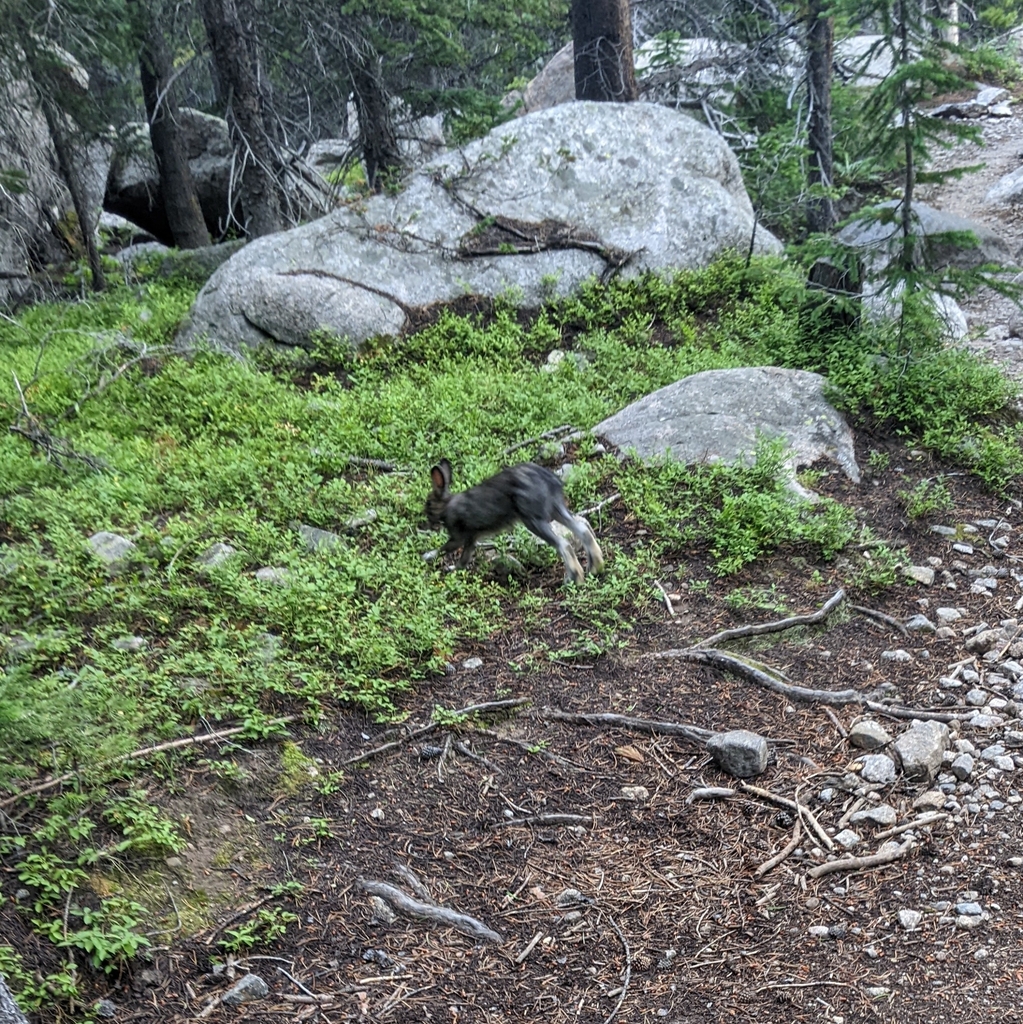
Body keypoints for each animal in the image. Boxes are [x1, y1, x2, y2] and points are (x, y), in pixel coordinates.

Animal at [425, 458, 604, 584]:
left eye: (428, 504)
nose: (427, 519)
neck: (446, 505)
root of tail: (551, 481)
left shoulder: (459, 536)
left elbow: (446, 549)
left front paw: (429, 557)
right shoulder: (471, 539)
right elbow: (464, 558)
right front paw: (453, 568)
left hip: (533, 520)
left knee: (563, 544)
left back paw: (574, 579)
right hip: (556, 510)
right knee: (582, 530)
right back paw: (595, 568)